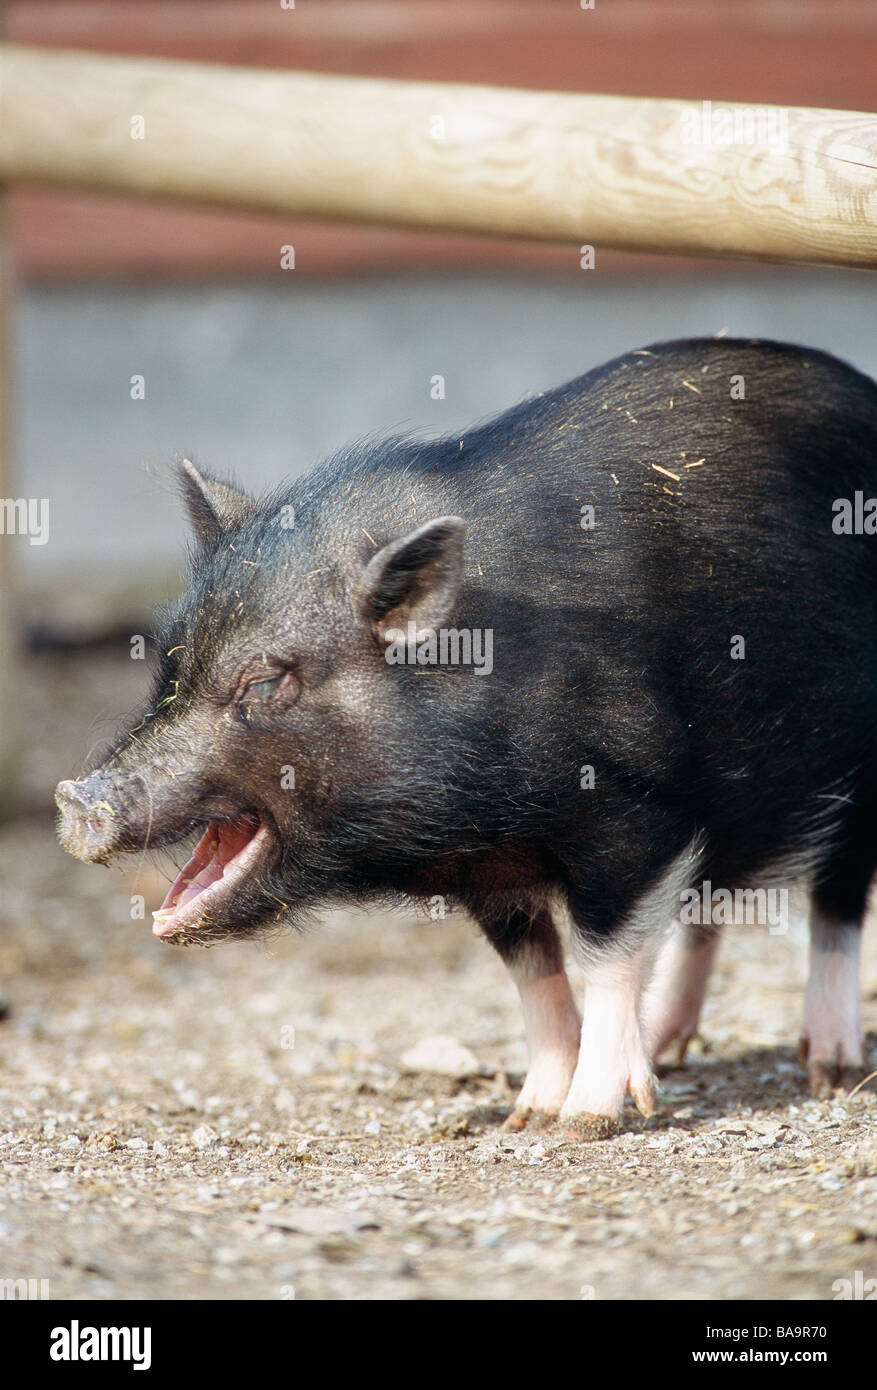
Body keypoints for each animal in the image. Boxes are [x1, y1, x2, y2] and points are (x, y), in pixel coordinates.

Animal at [56, 337, 876, 1135]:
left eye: (262, 682)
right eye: (171, 664)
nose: (75, 797)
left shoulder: (634, 814)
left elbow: (604, 956)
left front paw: (585, 1122)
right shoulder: (487, 865)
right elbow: (534, 970)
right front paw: (525, 1116)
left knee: (836, 903)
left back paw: (829, 1072)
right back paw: (674, 1050)